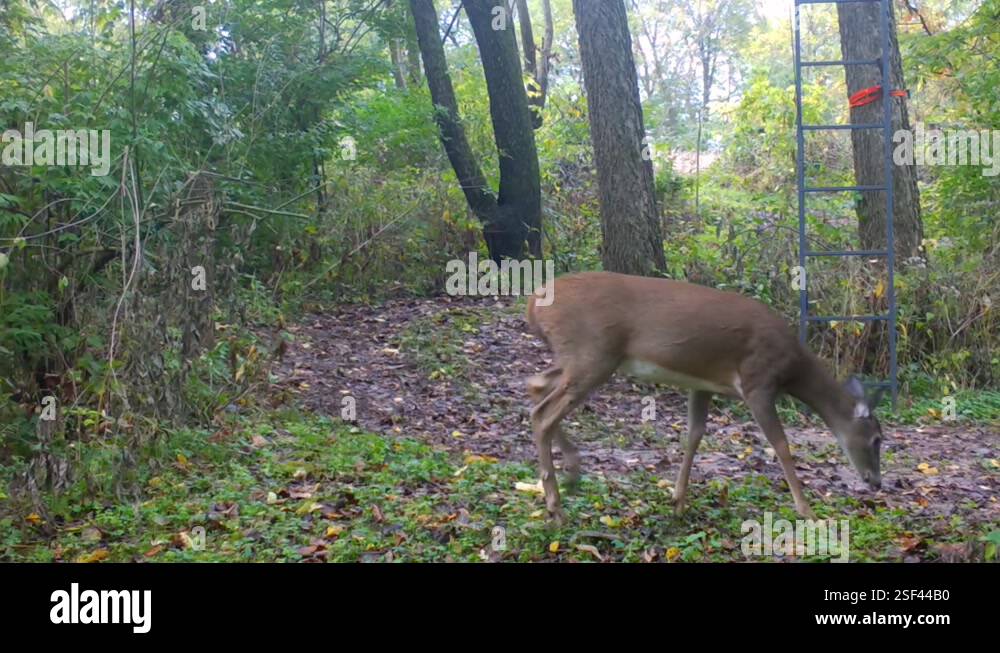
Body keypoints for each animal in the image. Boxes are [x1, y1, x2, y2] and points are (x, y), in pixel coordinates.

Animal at [525, 271, 886, 524]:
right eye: (878, 439)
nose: (877, 482)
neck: (792, 368)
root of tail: (534, 301)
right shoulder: (758, 382)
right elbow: (781, 444)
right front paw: (807, 511)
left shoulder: (704, 385)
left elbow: (694, 435)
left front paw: (678, 501)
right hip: (592, 353)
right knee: (543, 413)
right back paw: (555, 507)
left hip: (580, 358)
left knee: (536, 386)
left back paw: (572, 473)